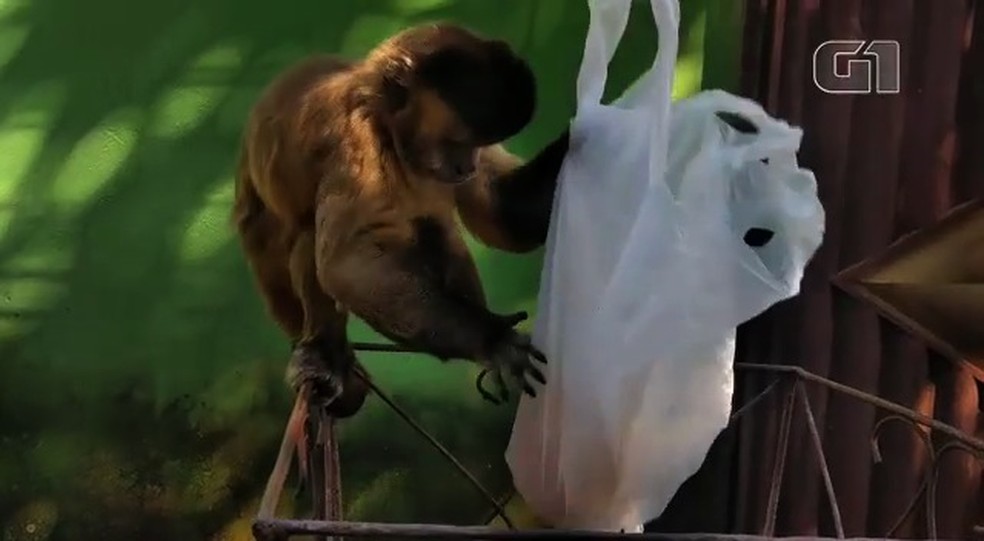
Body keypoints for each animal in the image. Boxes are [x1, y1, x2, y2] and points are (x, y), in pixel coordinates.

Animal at [232, 22, 570, 419]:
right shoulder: (354, 137)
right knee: (308, 235)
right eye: (456, 142)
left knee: (436, 228)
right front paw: (492, 338)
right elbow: (345, 266)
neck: (390, 132)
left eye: (474, 146)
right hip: (266, 257)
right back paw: (323, 350)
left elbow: (500, 214)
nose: (467, 166)